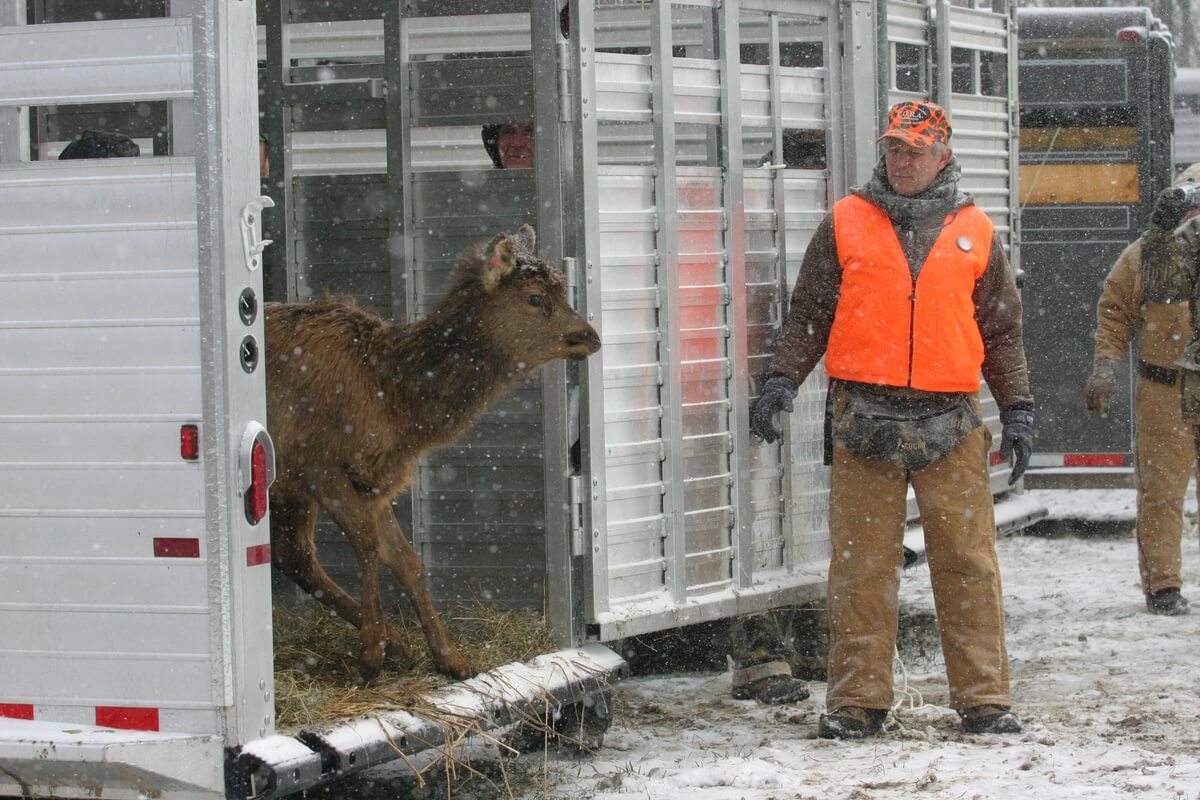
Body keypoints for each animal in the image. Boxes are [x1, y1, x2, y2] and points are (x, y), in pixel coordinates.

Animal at [264, 225, 601, 681]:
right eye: (534, 297)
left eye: (564, 290)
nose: (591, 337)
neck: (394, 401)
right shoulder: (317, 462)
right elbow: (368, 544)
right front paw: (369, 656)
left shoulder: (374, 479)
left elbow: (406, 559)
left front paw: (451, 658)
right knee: (295, 552)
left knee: (292, 553)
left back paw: (398, 643)